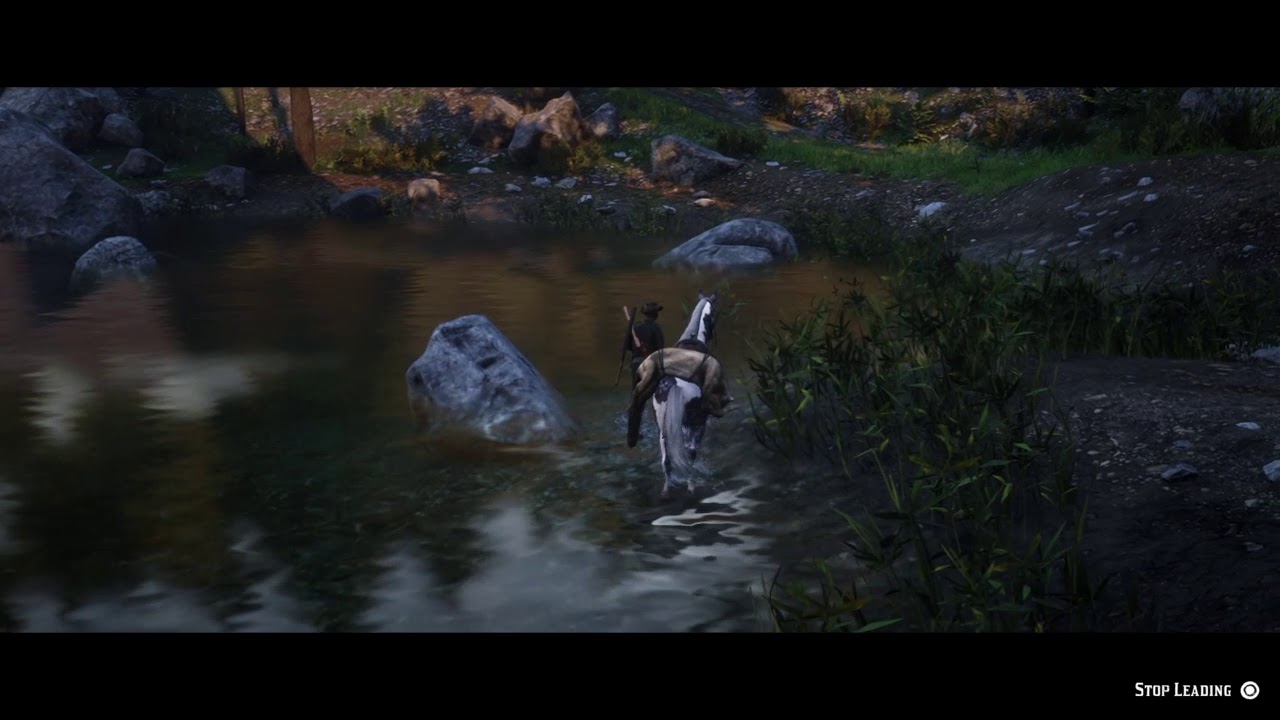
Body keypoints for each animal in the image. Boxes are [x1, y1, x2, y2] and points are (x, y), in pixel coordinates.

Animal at [646, 291, 720, 497]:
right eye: (715, 315)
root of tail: (673, 385)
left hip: (663, 430)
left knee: (667, 461)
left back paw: (667, 490)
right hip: (695, 425)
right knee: (690, 455)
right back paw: (691, 486)